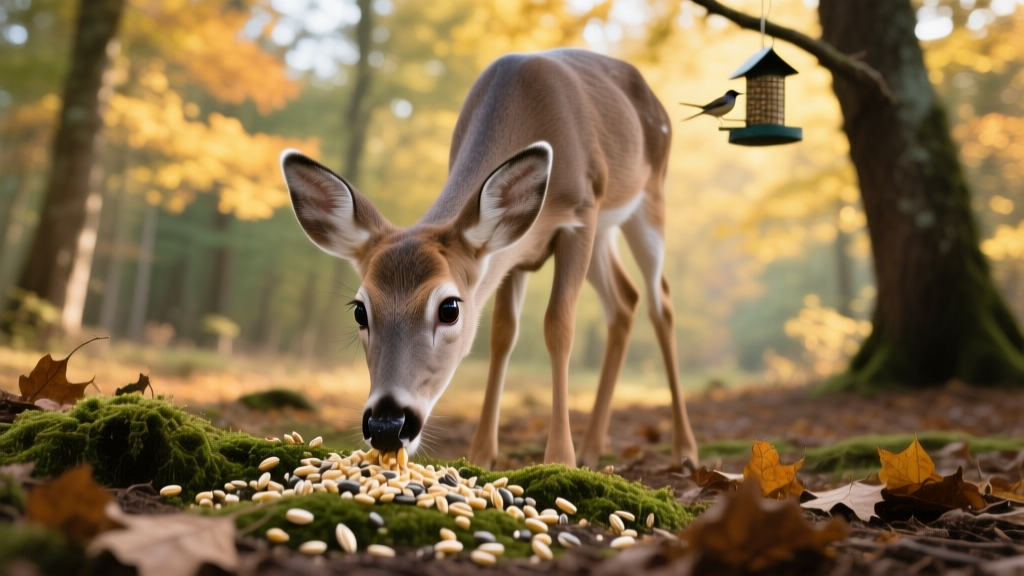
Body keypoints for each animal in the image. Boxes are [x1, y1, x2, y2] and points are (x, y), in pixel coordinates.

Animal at [280, 48, 698, 469]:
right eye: (360, 312)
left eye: (449, 308)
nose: (387, 426)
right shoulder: (510, 250)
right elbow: (502, 334)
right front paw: (481, 455)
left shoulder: (581, 214)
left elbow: (558, 325)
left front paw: (559, 458)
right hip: (604, 236)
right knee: (624, 299)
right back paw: (594, 449)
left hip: (648, 198)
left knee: (660, 301)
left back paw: (685, 450)